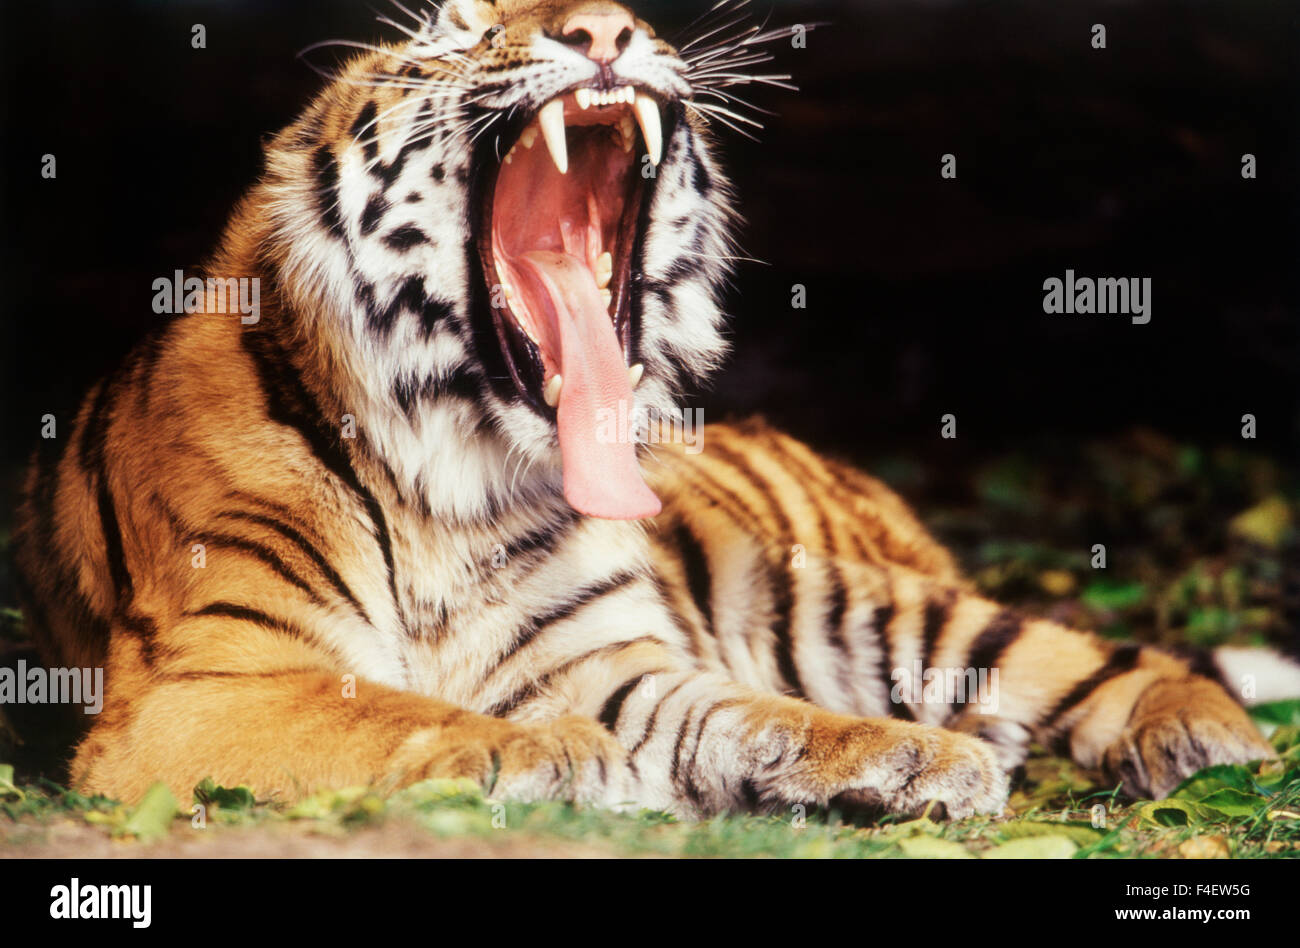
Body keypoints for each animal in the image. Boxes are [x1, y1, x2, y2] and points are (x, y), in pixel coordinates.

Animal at [13, 0, 1300, 820]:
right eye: (452, 32)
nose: (604, 30)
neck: (453, 480)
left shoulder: (604, 654)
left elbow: (745, 708)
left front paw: (904, 758)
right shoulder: (202, 686)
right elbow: (378, 712)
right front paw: (540, 751)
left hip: (838, 597)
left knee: (1074, 652)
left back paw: (1193, 733)